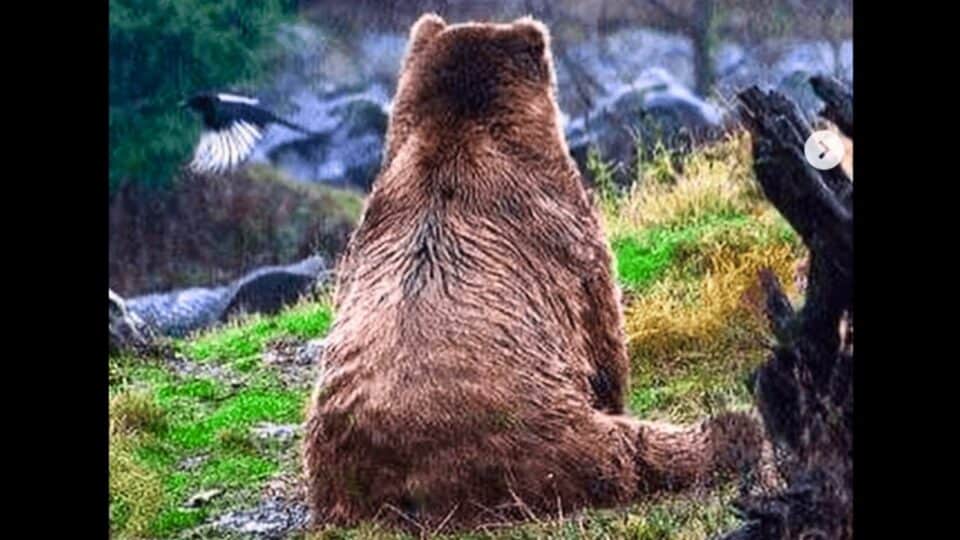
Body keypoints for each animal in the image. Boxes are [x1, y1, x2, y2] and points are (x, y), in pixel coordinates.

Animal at [303, 14, 765, 531]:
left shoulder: (364, 234)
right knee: (633, 448)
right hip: (547, 435)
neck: (460, 128)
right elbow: (603, 331)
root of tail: (412, 482)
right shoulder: (562, 227)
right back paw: (731, 431)